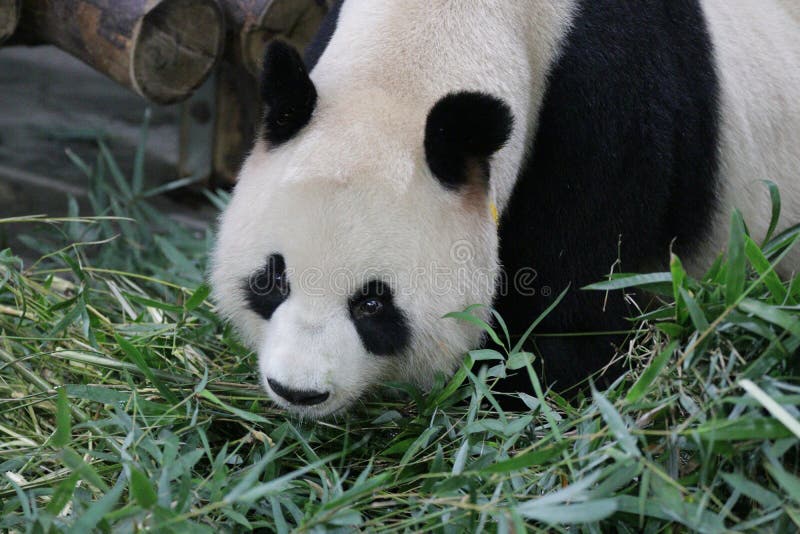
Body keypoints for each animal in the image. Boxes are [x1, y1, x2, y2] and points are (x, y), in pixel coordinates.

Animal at [212, 0, 800, 418]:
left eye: (373, 304)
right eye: (272, 280)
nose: (298, 390)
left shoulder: (609, 104)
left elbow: (580, 289)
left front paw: (518, 391)